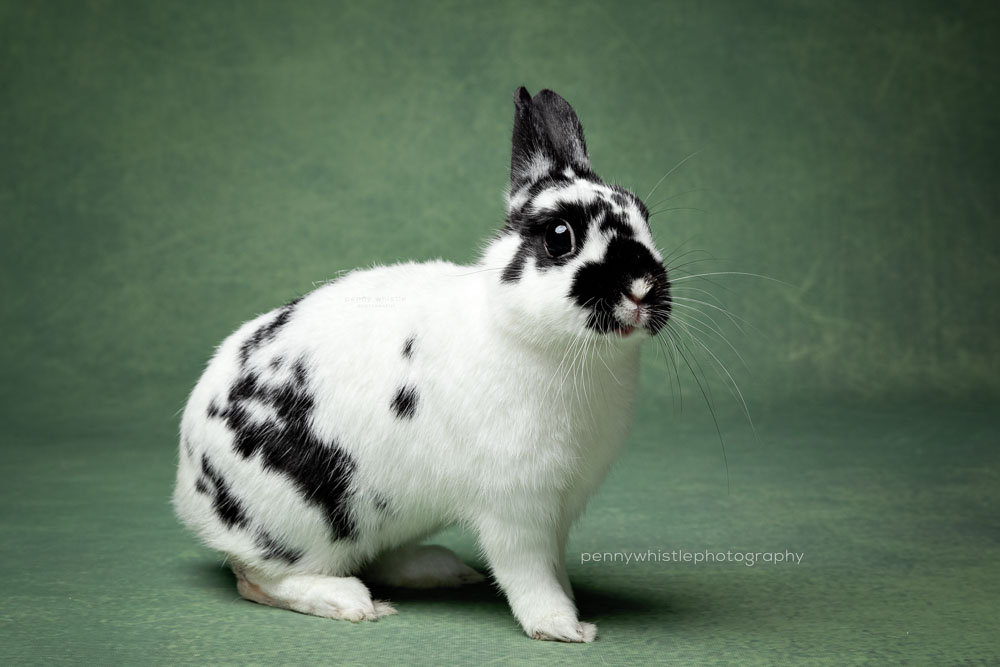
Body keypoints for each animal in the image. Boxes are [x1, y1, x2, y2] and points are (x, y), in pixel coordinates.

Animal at [173, 87, 671, 643]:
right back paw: (352, 602)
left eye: (646, 218)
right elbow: (529, 573)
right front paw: (563, 627)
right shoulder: (516, 508)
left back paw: (441, 569)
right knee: (259, 578)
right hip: (301, 522)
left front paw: (573, 610)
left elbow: (555, 566)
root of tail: (188, 482)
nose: (642, 289)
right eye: (559, 236)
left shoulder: (561, 507)